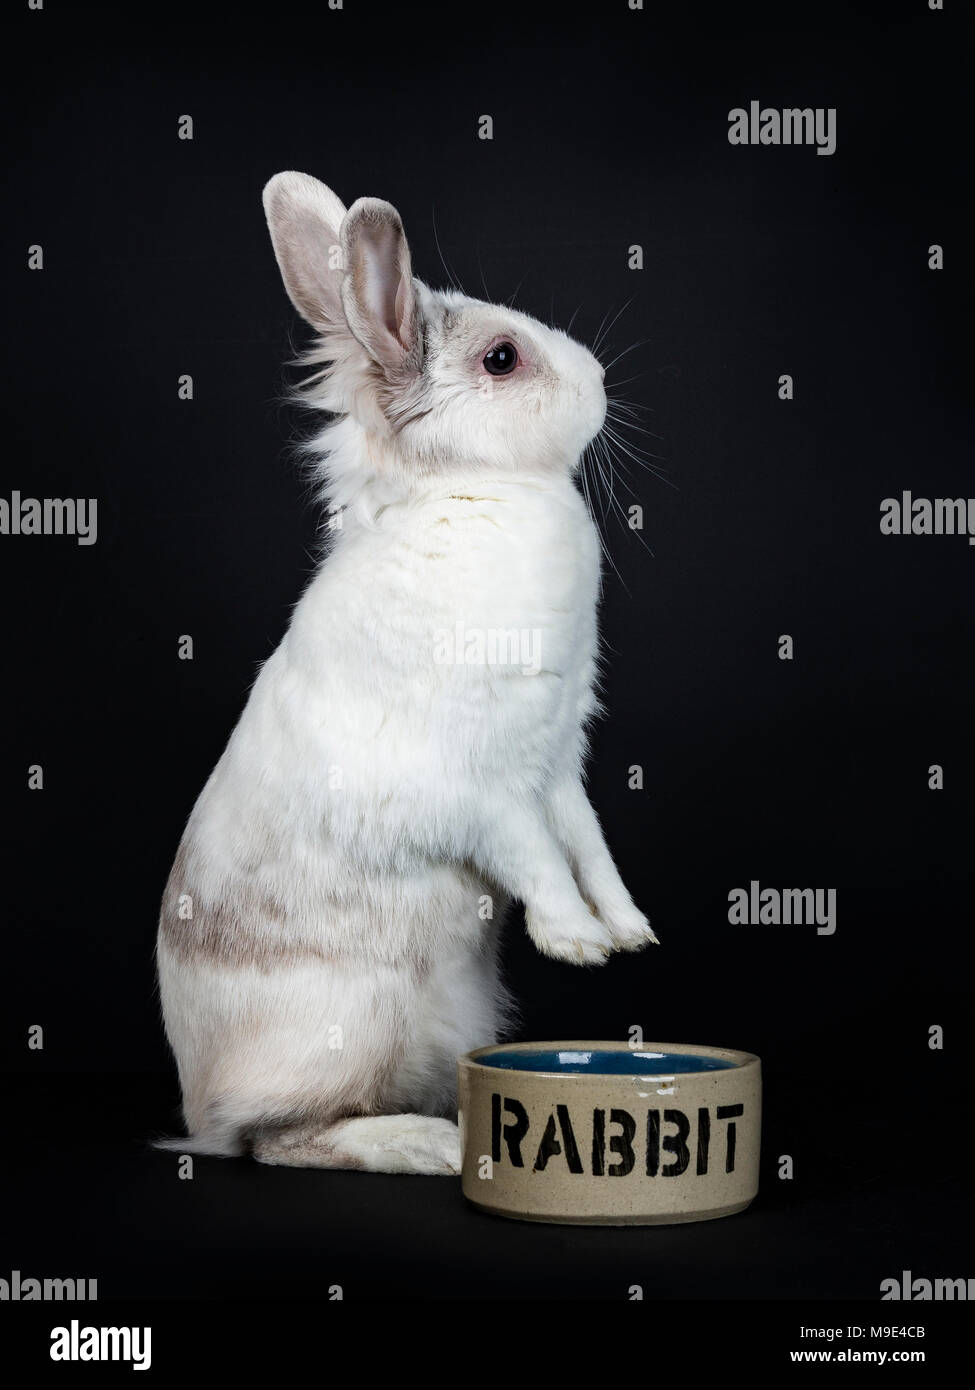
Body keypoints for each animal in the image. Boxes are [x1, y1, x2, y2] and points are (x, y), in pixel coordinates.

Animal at [155, 172, 657, 1174]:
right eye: (502, 359)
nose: (598, 379)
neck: (470, 493)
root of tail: (199, 1104)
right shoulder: (479, 789)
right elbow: (536, 857)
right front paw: (575, 943)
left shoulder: (557, 764)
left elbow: (586, 845)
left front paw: (624, 932)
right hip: (354, 1030)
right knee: (279, 1141)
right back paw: (426, 1143)